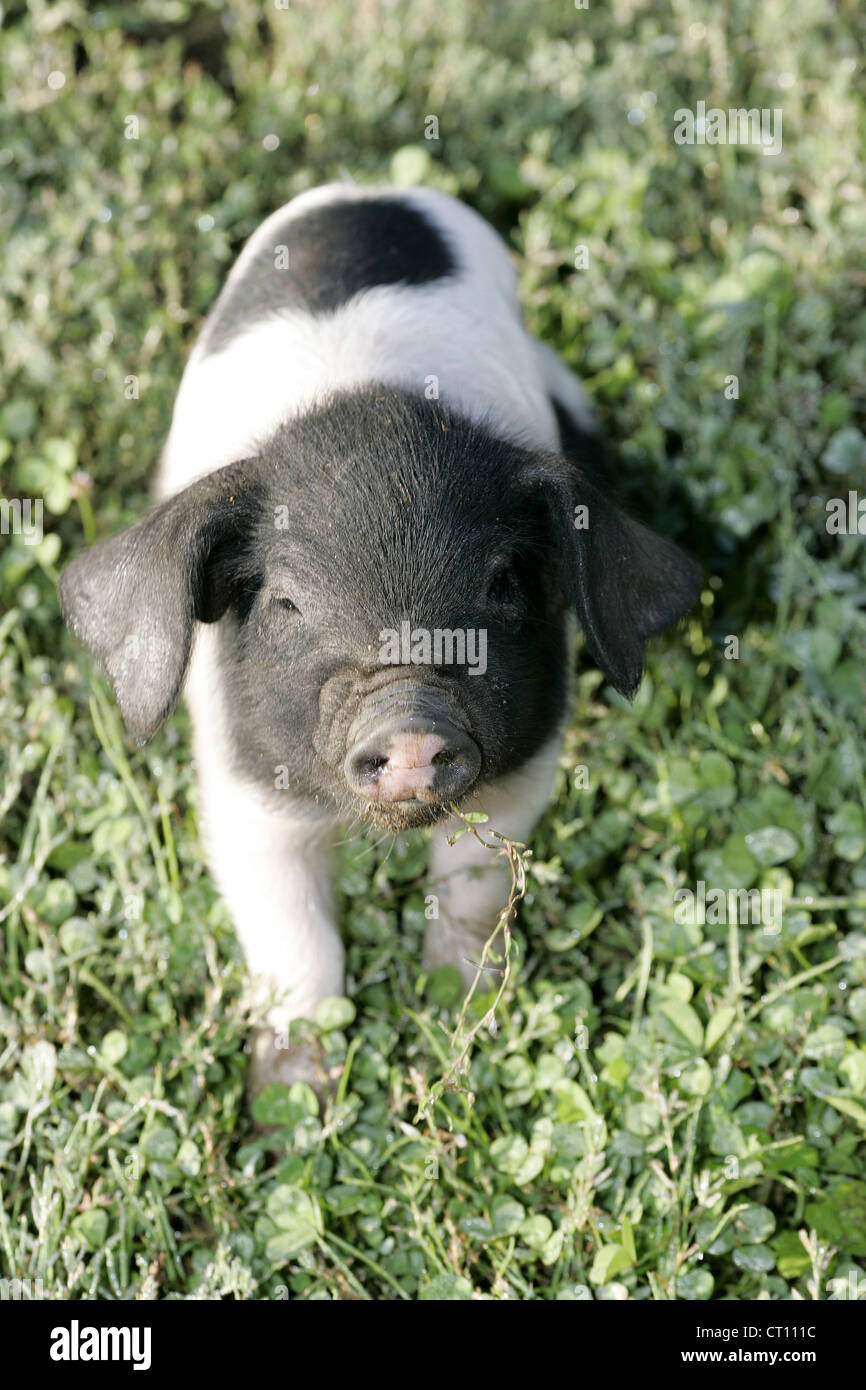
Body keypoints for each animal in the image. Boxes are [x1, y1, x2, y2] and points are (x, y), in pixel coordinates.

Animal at [60, 183, 700, 1094]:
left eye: (501, 582)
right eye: (287, 602)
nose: (409, 721)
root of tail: (368, 191)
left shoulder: (531, 756)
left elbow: (470, 893)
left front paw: (459, 1022)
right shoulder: (242, 786)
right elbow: (295, 942)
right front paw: (289, 1103)